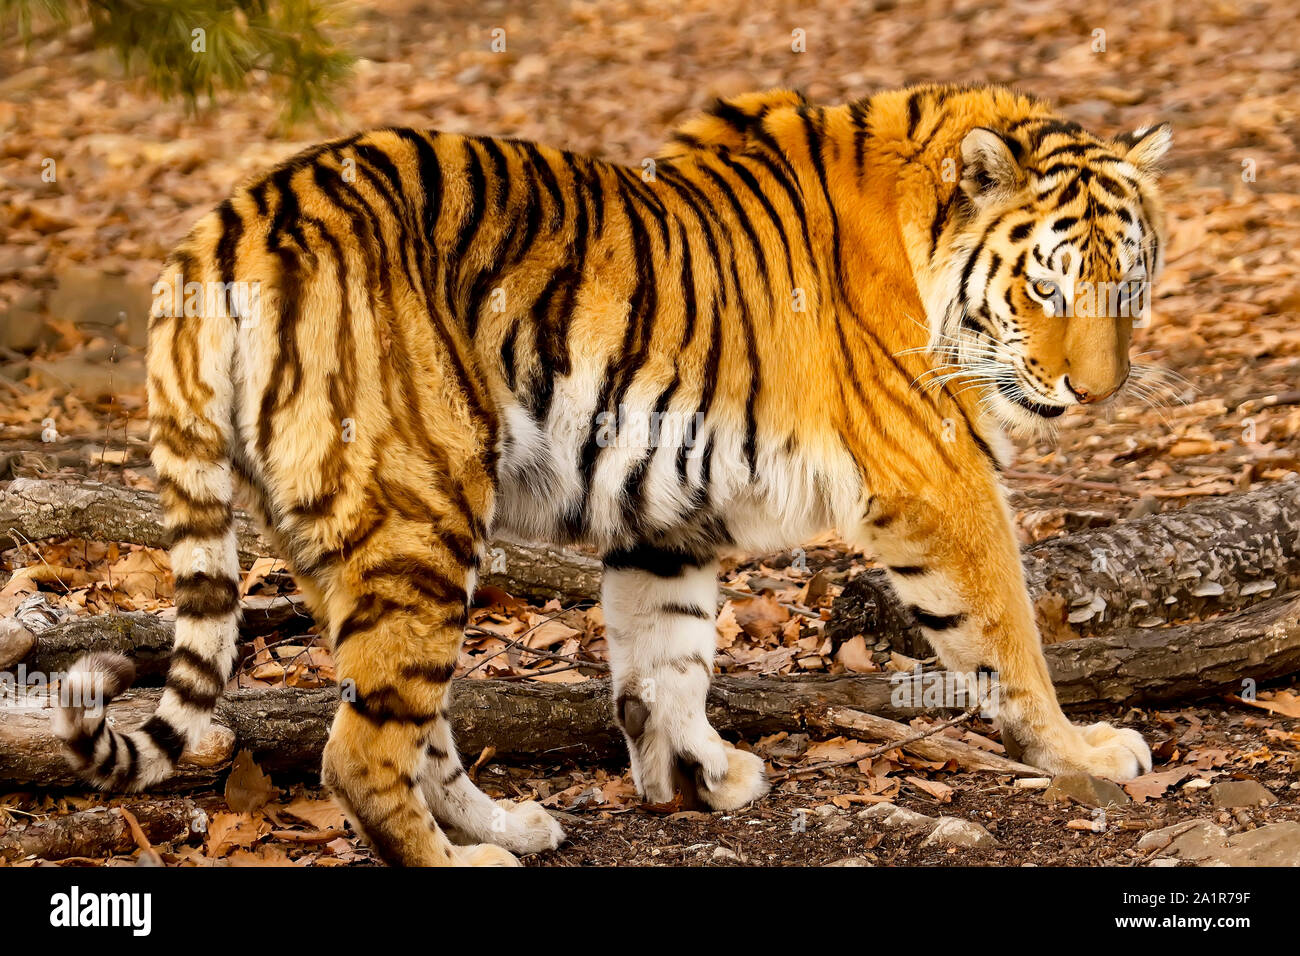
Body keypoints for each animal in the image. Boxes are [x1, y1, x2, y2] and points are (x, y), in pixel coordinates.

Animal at [55, 82, 1169, 866]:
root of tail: (226, 224)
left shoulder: (665, 509)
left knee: (410, 722)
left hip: (347, 539)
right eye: (1046, 287)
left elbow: (664, 657)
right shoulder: (937, 479)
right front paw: (1085, 752)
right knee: (357, 752)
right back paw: (466, 860)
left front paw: (696, 774)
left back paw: (508, 824)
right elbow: (1008, 637)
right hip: (420, 511)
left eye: (1129, 283)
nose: (1098, 391)